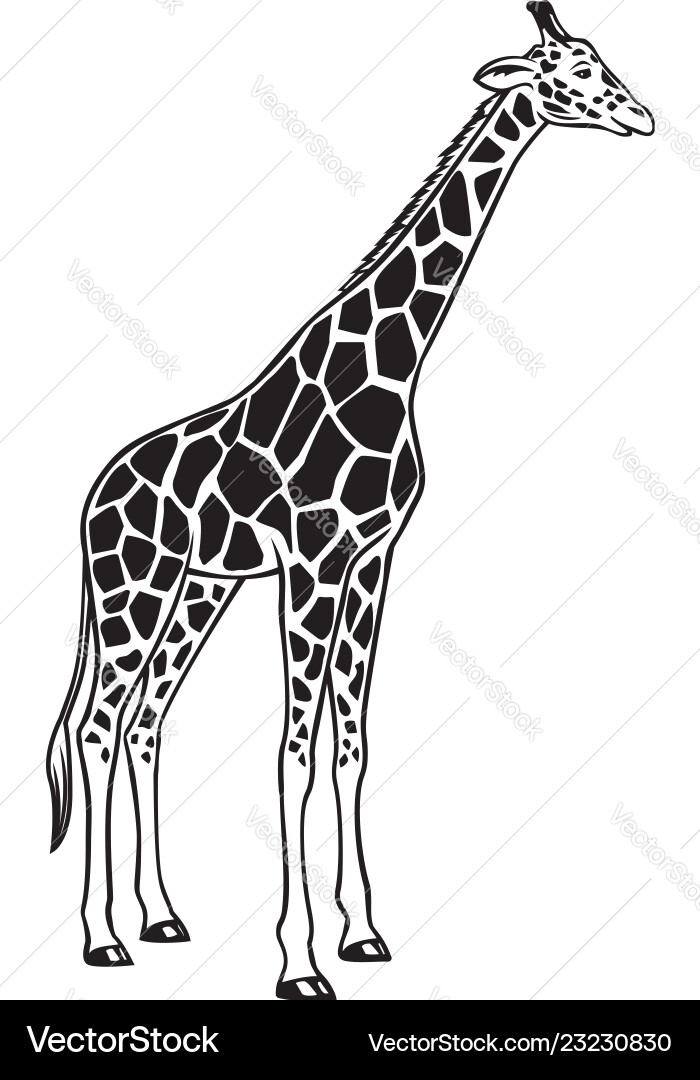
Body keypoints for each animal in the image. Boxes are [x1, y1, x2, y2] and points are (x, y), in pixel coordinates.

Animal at [46, 2, 653, 1000]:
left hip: (199, 589)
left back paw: (162, 917)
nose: (641, 117)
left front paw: (362, 933)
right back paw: (101, 938)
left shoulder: (370, 562)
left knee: (145, 724)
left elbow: (349, 743)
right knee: (98, 726)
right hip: (132, 587)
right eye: (567, 72)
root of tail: (94, 493)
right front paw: (298, 963)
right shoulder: (313, 563)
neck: (393, 372)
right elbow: (292, 752)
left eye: (602, 60)